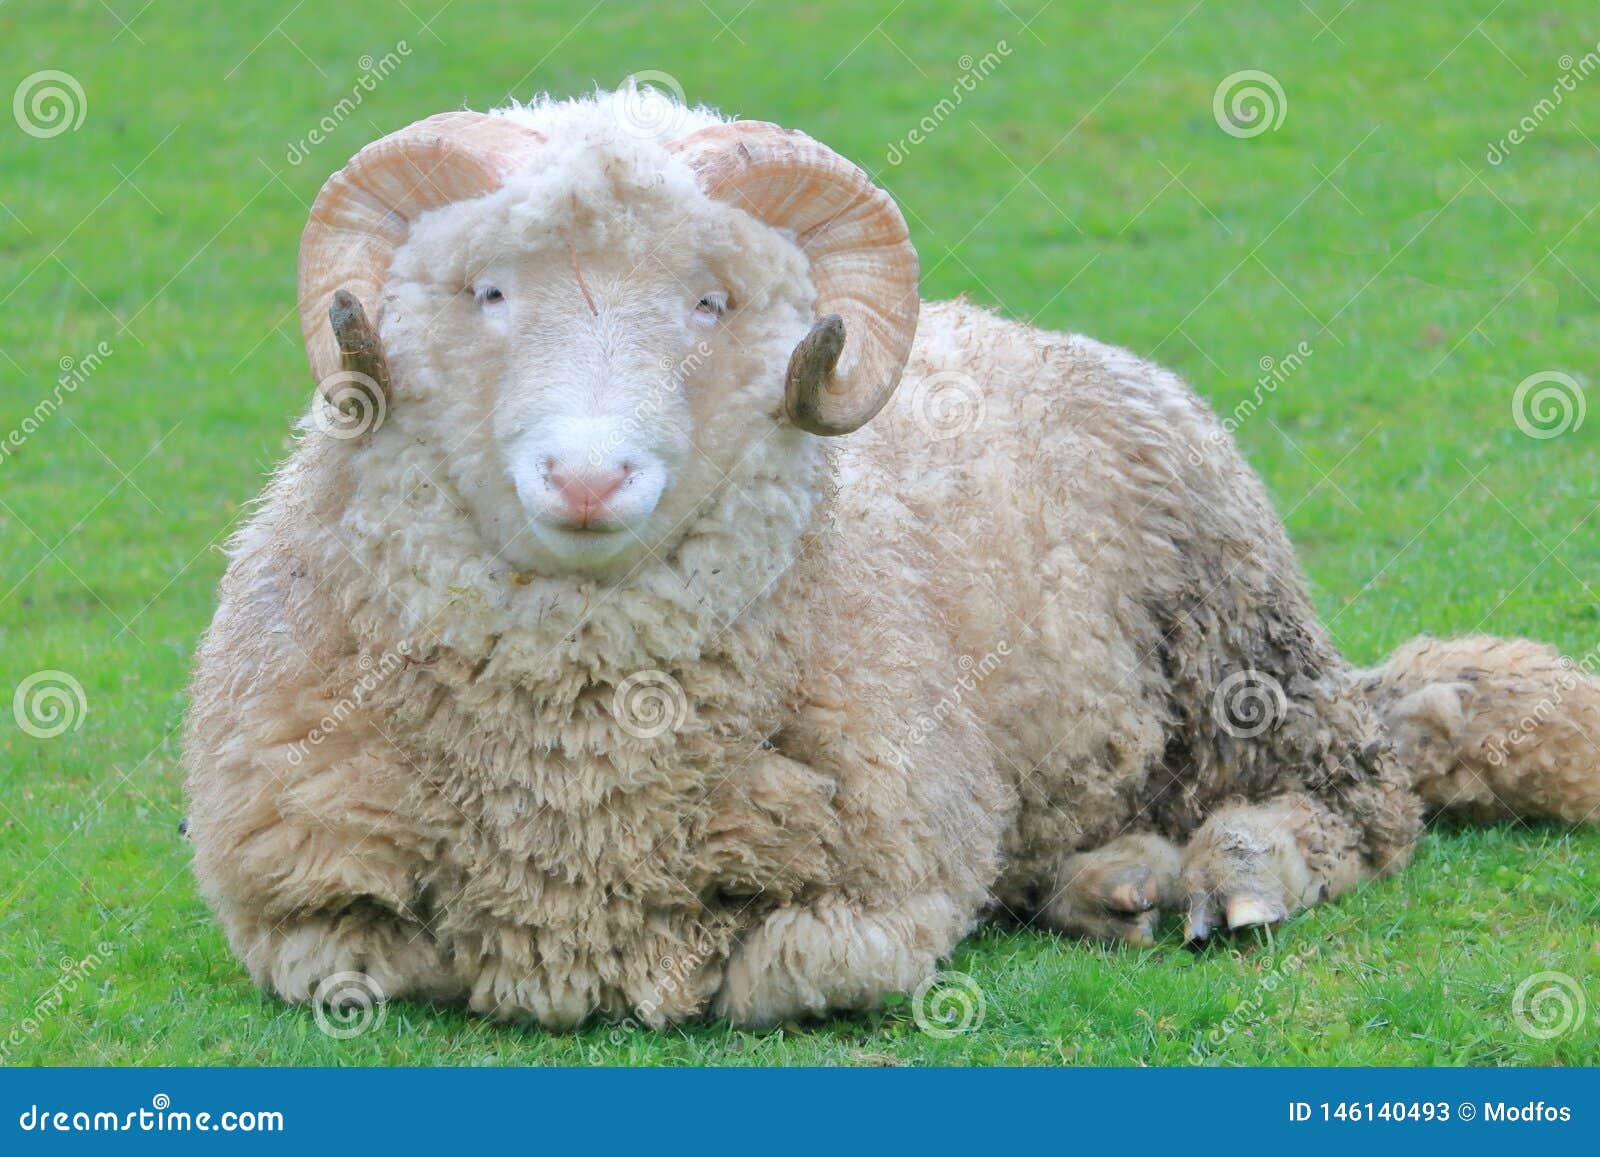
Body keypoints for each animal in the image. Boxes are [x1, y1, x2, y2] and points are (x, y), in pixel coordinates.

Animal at [183, 92, 1600, 1028]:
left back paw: (1232, 871)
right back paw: (1115, 878)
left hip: (1240, 649)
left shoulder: (898, 868)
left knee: (1363, 801)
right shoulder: (284, 908)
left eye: (712, 301)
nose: (587, 478)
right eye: (485, 292)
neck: (580, 760)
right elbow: (361, 964)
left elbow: (789, 974)